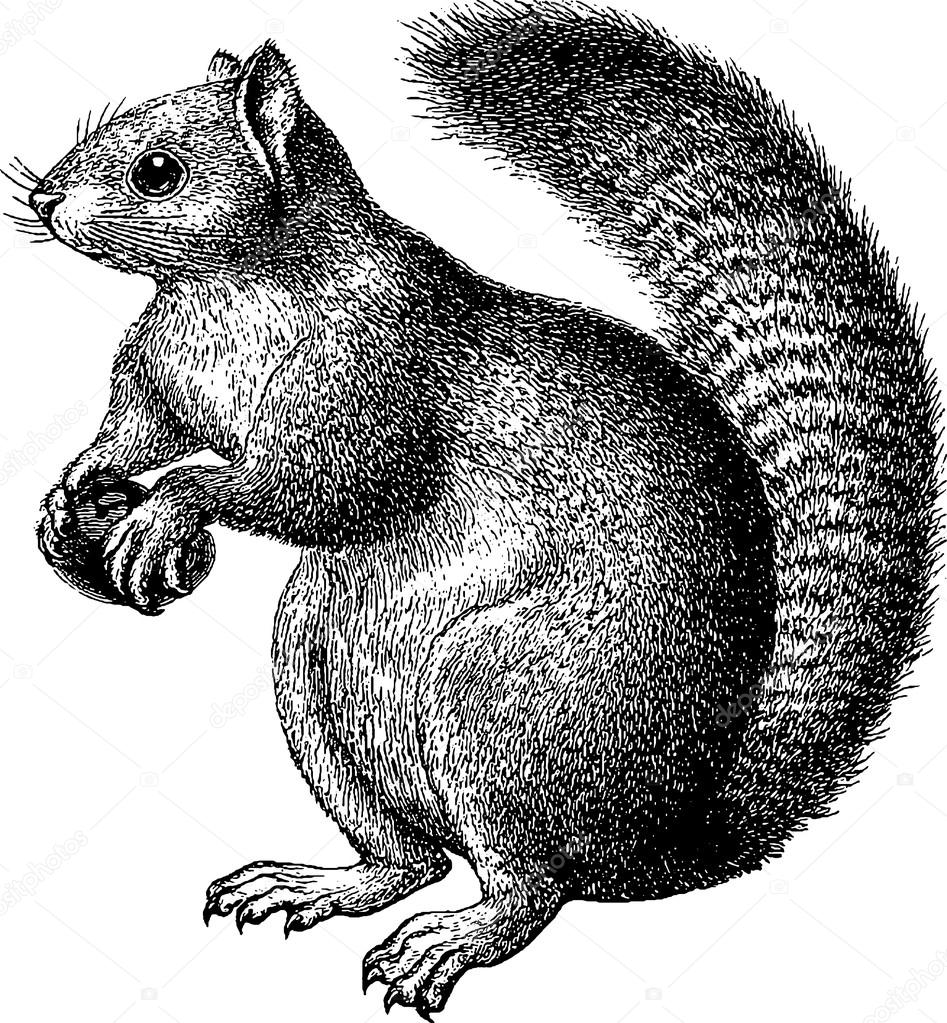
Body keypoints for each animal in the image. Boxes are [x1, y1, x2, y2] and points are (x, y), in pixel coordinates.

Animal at [23, 2, 939, 1018]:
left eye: (158, 170)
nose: (45, 199)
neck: (225, 289)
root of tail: (663, 838)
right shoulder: (159, 380)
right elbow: (136, 433)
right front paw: (73, 491)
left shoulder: (372, 376)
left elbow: (324, 486)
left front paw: (170, 510)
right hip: (314, 682)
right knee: (411, 861)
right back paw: (317, 884)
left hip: (499, 711)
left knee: (527, 887)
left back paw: (449, 941)